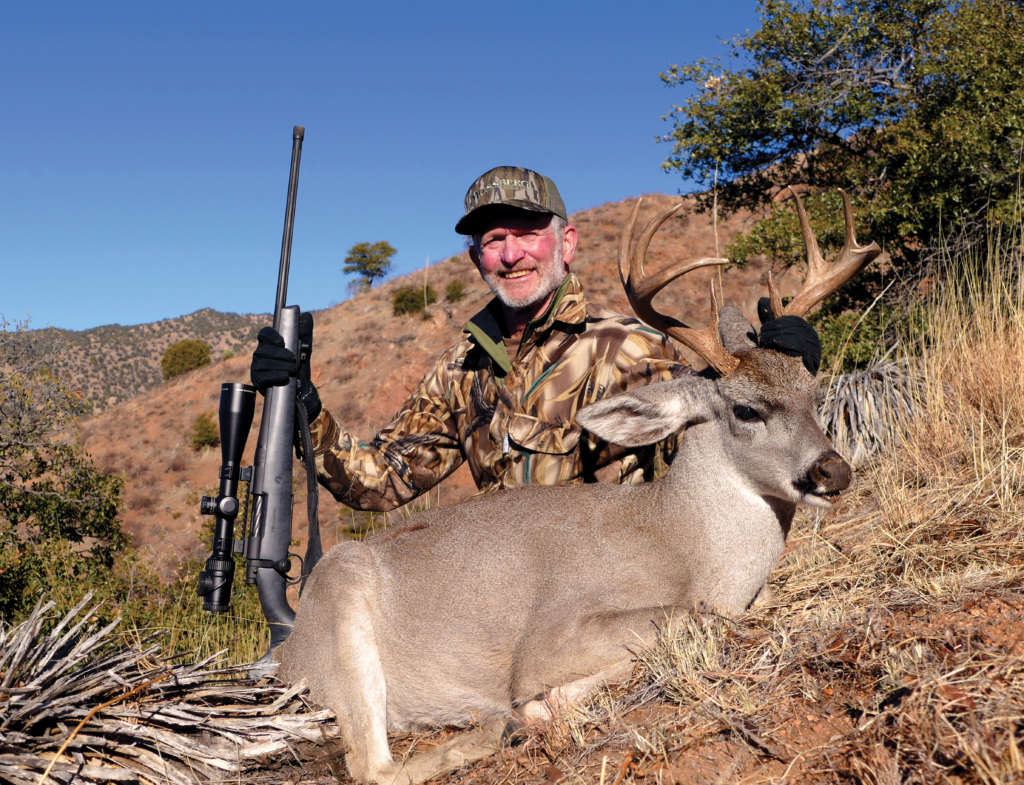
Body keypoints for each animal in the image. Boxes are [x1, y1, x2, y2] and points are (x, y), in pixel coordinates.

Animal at [273, 190, 881, 785]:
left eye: (813, 393)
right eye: (747, 410)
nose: (833, 470)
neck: (680, 538)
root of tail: (286, 659)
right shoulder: (550, 637)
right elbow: (689, 617)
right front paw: (540, 705)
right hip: (341, 610)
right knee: (370, 766)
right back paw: (497, 729)